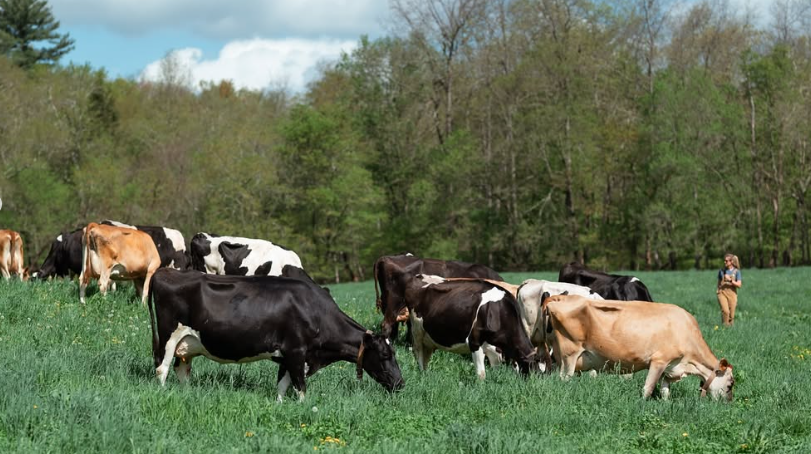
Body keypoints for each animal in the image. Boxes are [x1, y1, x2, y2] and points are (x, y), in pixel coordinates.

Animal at [148, 268, 404, 401]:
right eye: (384, 355)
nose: (400, 383)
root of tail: (165, 271)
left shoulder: (289, 356)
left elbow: (282, 385)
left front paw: (280, 406)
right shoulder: (297, 351)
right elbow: (300, 387)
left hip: (187, 343)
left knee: (182, 369)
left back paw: (187, 394)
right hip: (168, 335)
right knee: (162, 368)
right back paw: (163, 394)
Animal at [406, 274, 538, 380]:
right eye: (531, 369)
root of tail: (420, 276)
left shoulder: (495, 350)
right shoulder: (475, 342)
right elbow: (481, 374)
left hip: (429, 339)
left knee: (426, 357)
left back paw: (426, 374)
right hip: (417, 331)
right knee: (419, 354)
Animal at [541, 294, 735, 400]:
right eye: (730, 384)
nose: (728, 403)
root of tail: (563, 298)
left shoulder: (671, 367)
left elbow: (665, 390)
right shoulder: (659, 360)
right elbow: (648, 388)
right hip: (570, 356)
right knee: (564, 378)